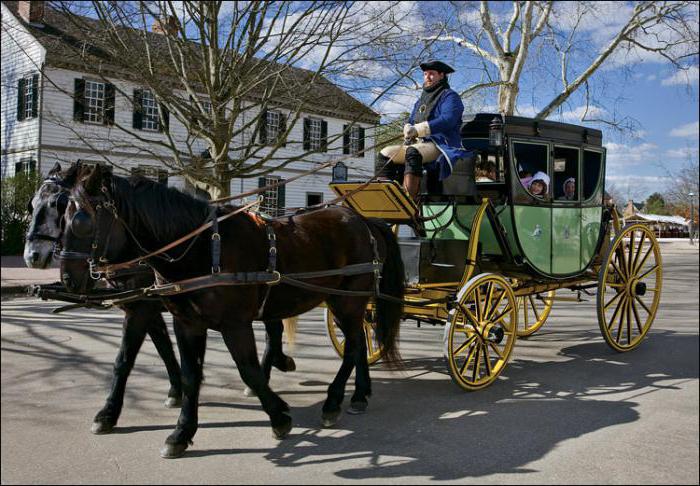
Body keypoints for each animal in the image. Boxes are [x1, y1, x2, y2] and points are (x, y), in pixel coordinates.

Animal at [26, 164, 296, 436]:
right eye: (32, 205)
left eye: (58, 205)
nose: (32, 256)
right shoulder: (150, 307)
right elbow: (164, 348)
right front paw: (176, 391)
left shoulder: (142, 308)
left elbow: (125, 359)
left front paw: (109, 413)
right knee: (274, 327)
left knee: (273, 329)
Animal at [60, 165, 404, 458]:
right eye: (61, 216)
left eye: (81, 221)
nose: (67, 278)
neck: (204, 248)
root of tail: (364, 221)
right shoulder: (186, 322)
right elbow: (186, 375)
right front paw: (180, 432)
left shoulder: (234, 323)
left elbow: (248, 369)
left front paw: (279, 416)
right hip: (346, 302)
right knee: (358, 343)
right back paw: (359, 394)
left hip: (346, 301)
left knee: (354, 346)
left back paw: (333, 401)